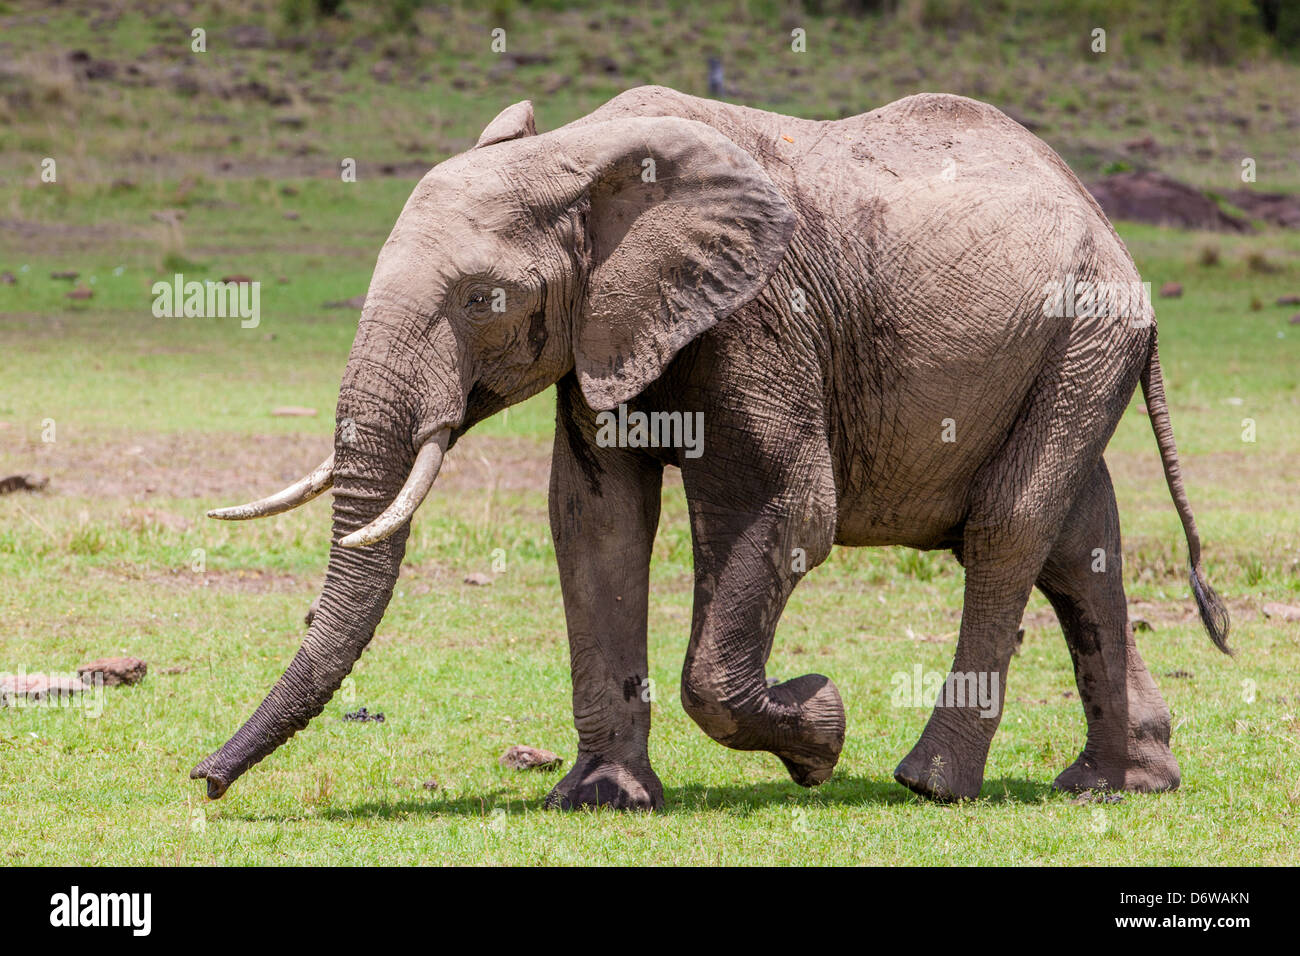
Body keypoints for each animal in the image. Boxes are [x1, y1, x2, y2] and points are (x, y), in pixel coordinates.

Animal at [191, 86, 1229, 809]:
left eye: (483, 300)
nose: (202, 782)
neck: (582, 156)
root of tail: (1105, 223)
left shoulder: (759, 312)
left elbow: (790, 506)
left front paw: (819, 730)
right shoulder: (608, 328)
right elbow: (594, 522)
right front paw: (602, 801)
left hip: (1083, 334)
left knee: (1009, 530)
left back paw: (932, 783)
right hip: (1072, 350)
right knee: (1079, 542)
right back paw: (1122, 783)